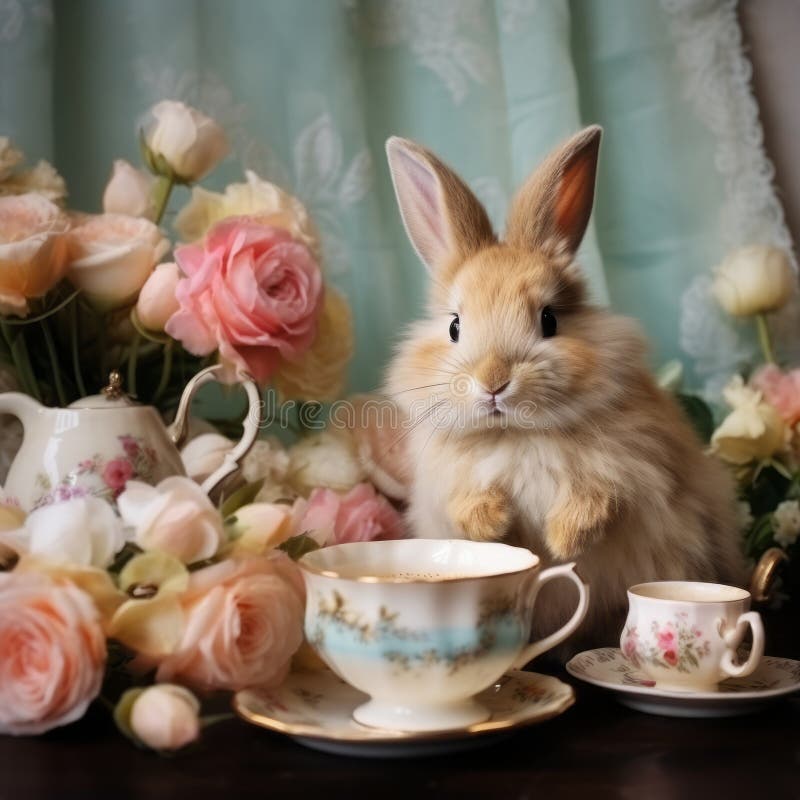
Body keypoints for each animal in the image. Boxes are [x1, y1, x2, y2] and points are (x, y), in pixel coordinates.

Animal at [383, 126, 746, 654]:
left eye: (549, 320)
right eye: (454, 326)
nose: (493, 382)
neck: (517, 436)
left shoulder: (631, 476)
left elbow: (599, 503)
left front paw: (562, 542)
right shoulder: (446, 490)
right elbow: (466, 508)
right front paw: (498, 522)